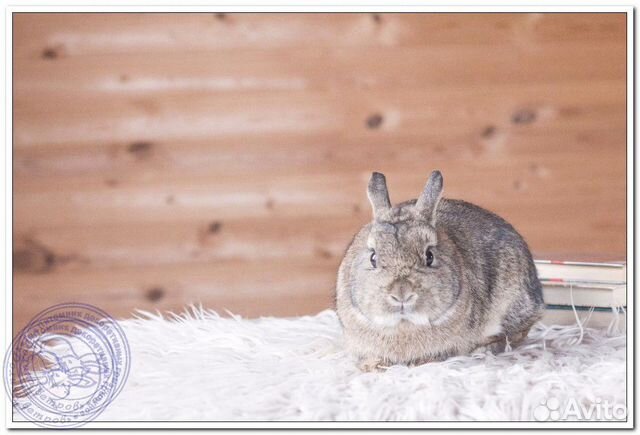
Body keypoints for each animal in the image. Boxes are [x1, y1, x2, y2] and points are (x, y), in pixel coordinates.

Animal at [335, 171, 545, 372]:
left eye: (429, 256)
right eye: (373, 257)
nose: (401, 293)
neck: (403, 325)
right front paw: (371, 366)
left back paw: (484, 349)